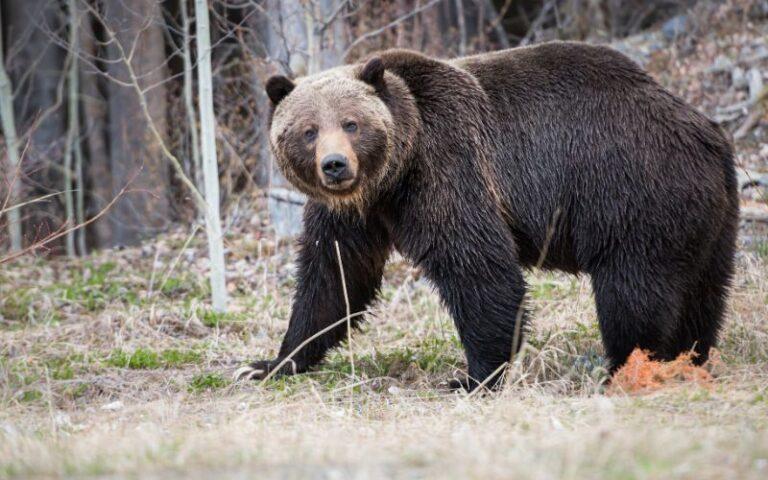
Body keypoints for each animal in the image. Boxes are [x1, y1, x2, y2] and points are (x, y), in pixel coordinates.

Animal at [236, 41, 738, 390]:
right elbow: (333, 279)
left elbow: (479, 269)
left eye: (351, 123)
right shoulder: (353, 215)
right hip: (707, 219)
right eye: (308, 131)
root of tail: (707, 132)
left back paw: (625, 368)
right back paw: (690, 357)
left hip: (631, 194)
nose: (335, 165)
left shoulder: (447, 168)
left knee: (632, 294)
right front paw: (271, 363)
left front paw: (472, 377)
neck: (392, 178)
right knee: (702, 293)